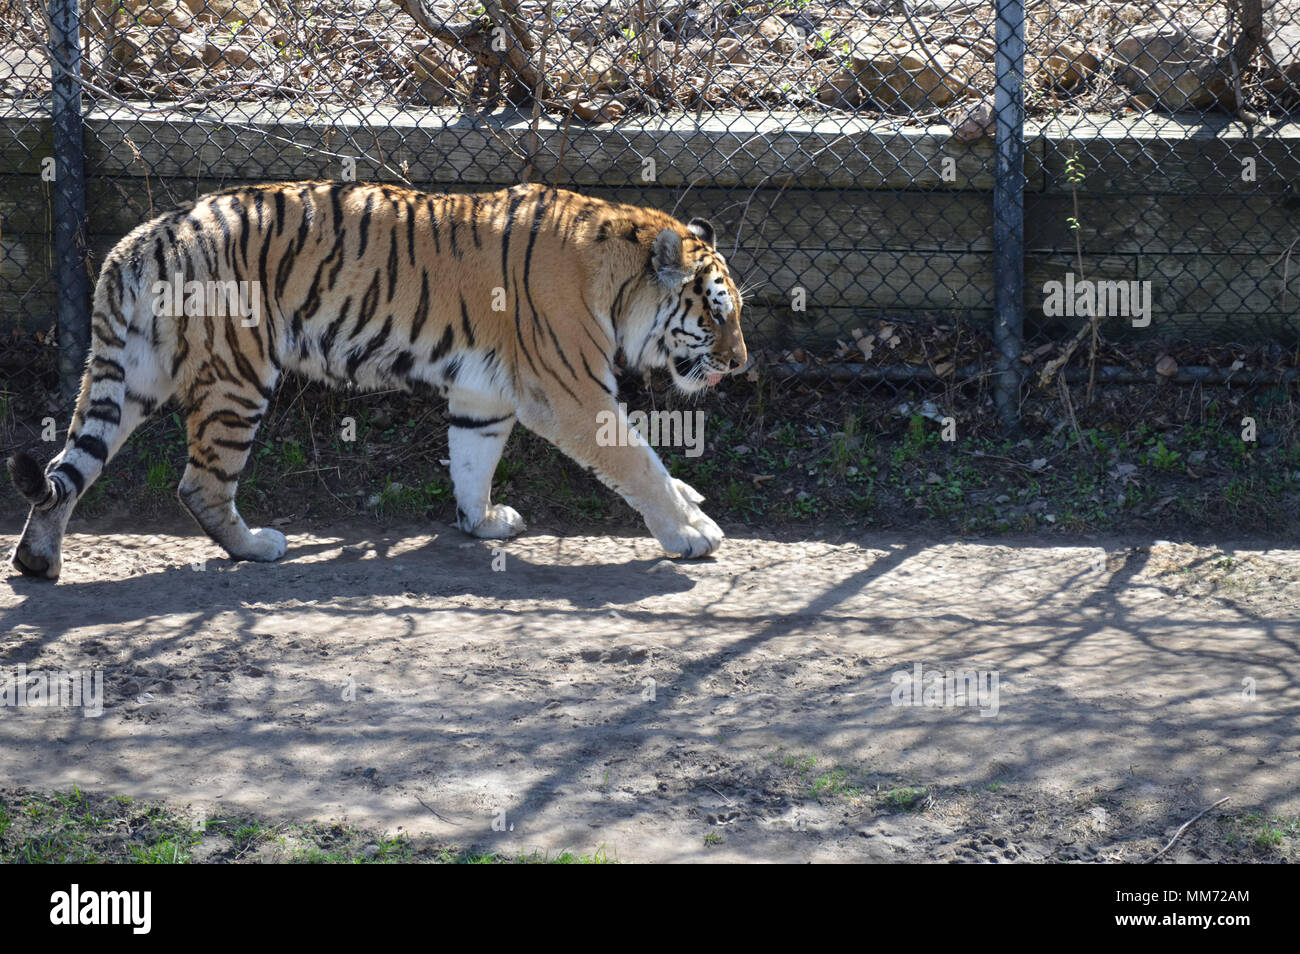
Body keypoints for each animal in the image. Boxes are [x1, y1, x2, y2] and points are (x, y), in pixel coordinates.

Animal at [7, 181, 748, 580]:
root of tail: (142, 240)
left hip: (131, 376)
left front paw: (481, 523)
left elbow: (471, 461)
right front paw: (690, 533)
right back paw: (257, 547)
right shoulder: (570, 393)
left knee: (68, 468)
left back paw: (37, 562)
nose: (741, 363)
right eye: (716, 315)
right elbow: (639, 461)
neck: (618, 284)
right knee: (199, 485)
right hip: (237, 379)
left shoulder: (483, 394)